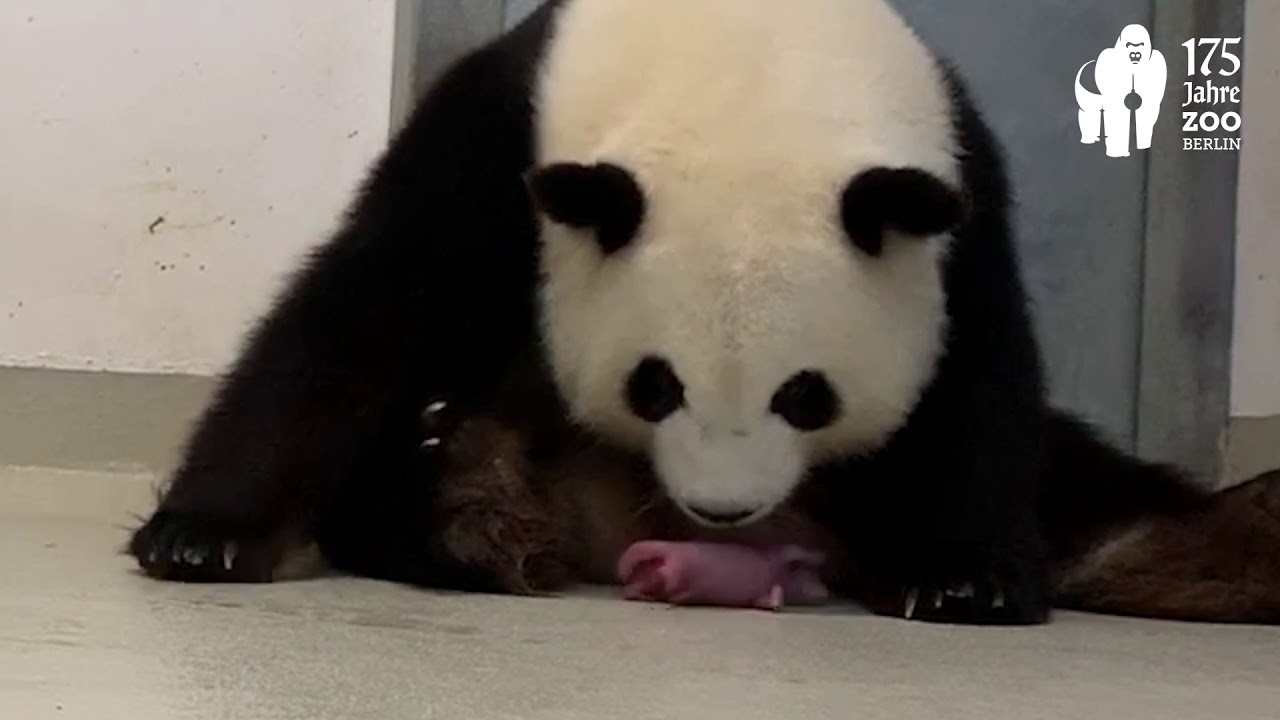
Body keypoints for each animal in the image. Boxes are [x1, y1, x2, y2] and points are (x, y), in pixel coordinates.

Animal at [128, 0, 1280, 625]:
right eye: (655, 383)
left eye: (806, 396)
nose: (722, 515)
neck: (751, 61)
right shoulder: (502, 137)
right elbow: (362, 314)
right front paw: (202, 536)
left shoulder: (956, 182)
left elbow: (974, 378)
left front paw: (965, 580)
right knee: (406, 466)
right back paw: (475, 507)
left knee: (1086, 480)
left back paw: (1212, 542)